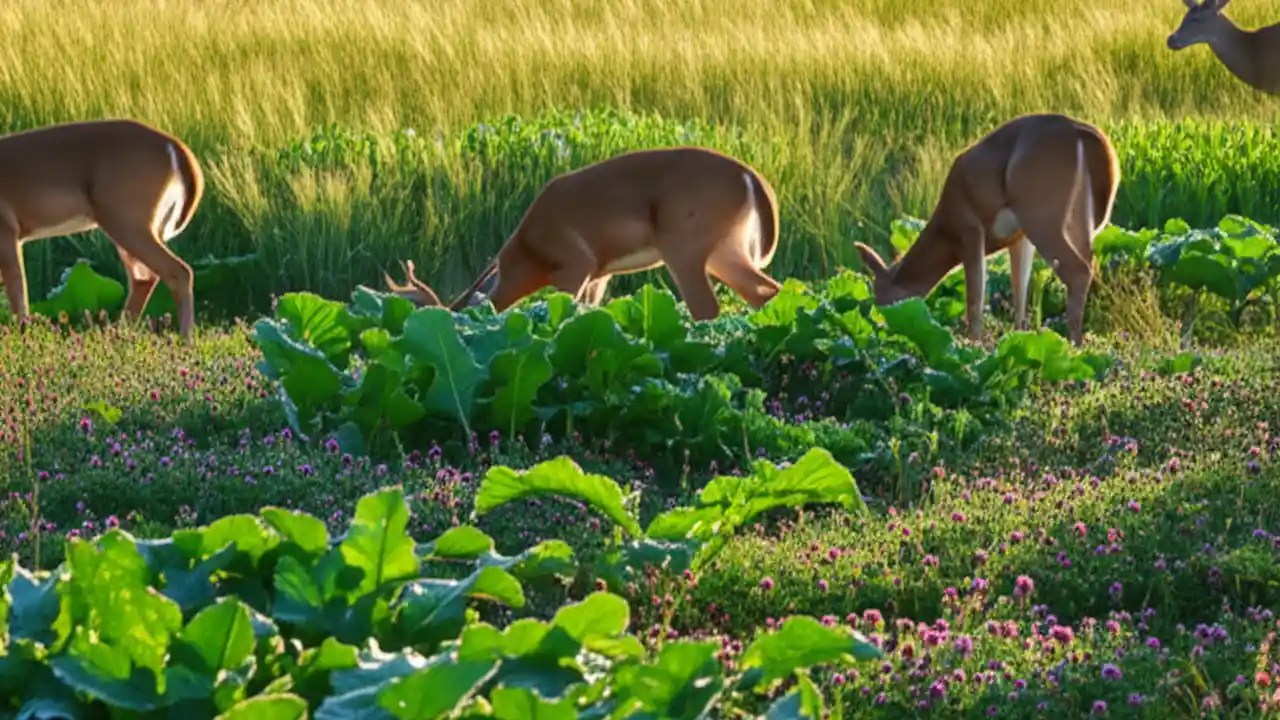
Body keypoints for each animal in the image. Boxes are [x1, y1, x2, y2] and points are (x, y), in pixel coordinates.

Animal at [0, 119, 205, 340]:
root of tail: (175, 145)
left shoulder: (7, 230)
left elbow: (17, 291)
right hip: (131, 224)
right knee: (144, 278)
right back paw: (118, 335)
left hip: (126, 219)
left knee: (177, 271)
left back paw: (184, 340)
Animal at [384, 146, 782, 321]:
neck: (530, 252)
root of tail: (752, 178)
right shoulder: (599, 273)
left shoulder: (575, 265)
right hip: (725, 249)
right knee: (767, 292)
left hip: (685, 245)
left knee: (708, 307)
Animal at [853, 113, 1121, 347]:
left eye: (883, 298)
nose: (882, 328)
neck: (945, 228)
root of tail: (1082, 134)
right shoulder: (1019, 238)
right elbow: (1019, 292)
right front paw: (1019, 339)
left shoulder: (970, 229)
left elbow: (975, 299)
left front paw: (973, 347)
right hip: (1080, 220)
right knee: (1088, 263)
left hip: (1041, 214)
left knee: (1078, 270)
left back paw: (1074, 347)